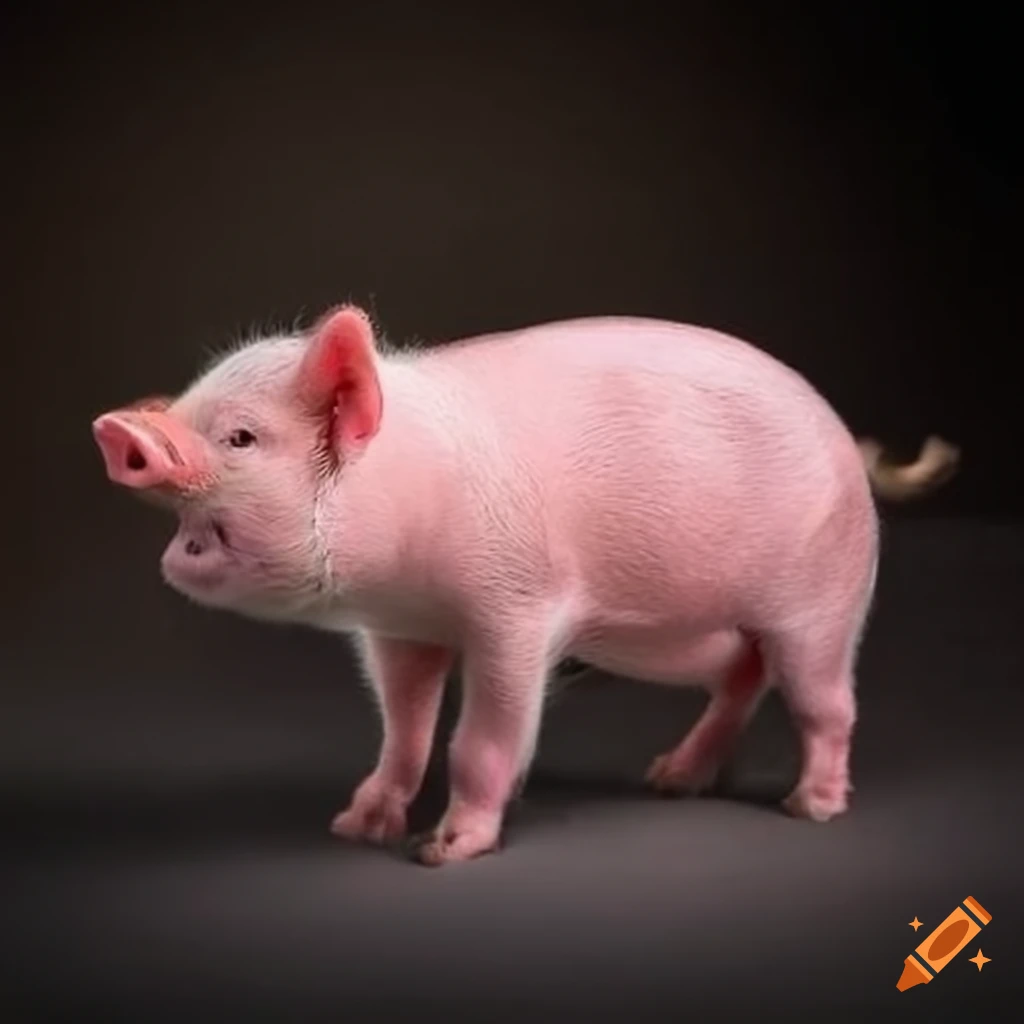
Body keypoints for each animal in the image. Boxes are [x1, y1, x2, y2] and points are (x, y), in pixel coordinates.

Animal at [91, 305, 959, 865]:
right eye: (193, 409)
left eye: (241, 438)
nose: (121, 426)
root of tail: (847, 440)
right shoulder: (399, 628)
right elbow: (402, 731)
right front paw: (353, 827)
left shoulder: (517, 609)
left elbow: (484, 736)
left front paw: (442, 851)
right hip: (687, 637)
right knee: (742, 677)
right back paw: (671, 780)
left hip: (822, 596)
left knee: (823, 700)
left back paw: (810, 807)